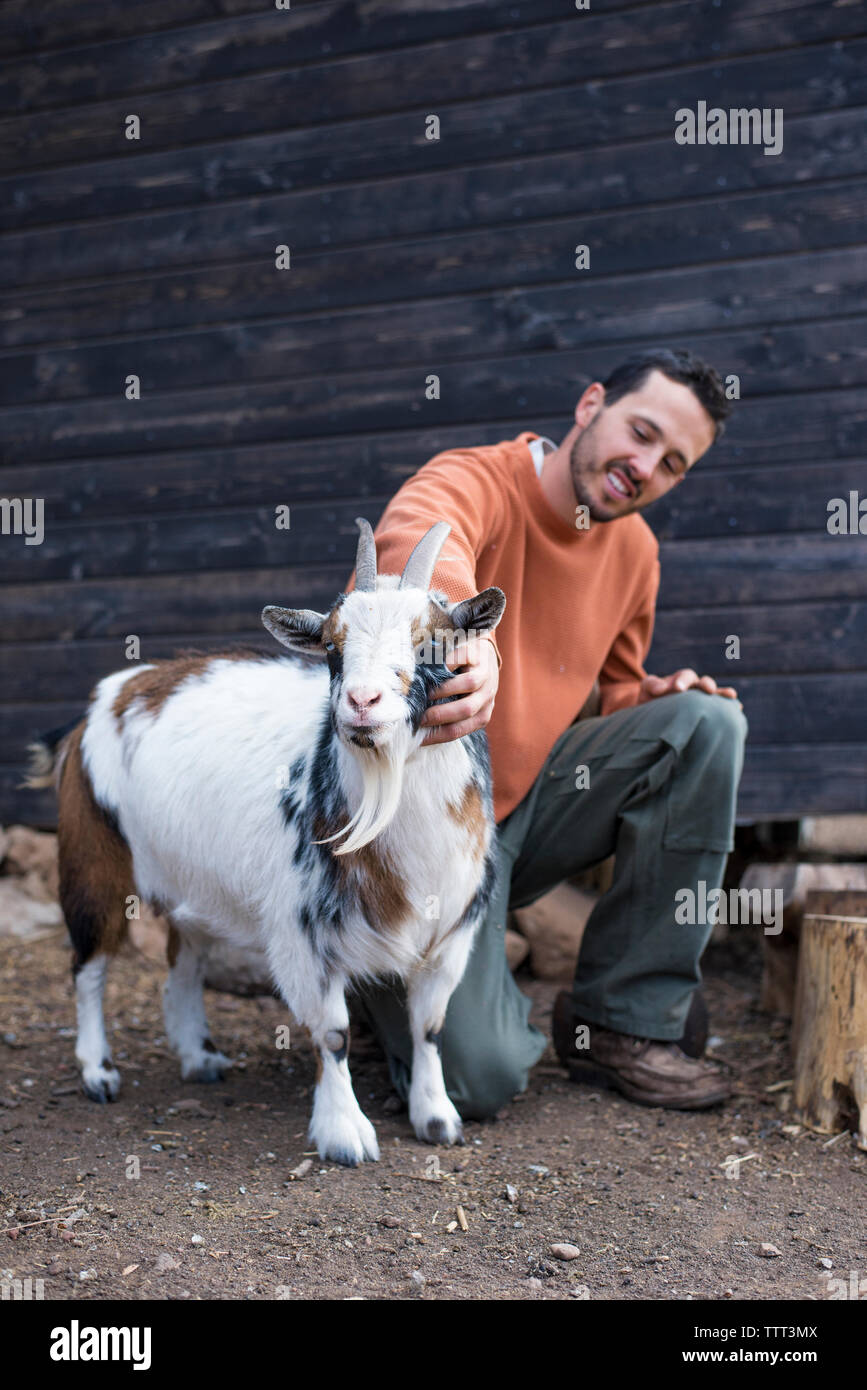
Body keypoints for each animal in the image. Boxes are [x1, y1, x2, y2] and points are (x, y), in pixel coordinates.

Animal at [27, 519, 506, 1165]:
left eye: (432, 642)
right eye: (331, 648)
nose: (362, 703)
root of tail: (106, 699)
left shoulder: (451, 929)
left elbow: (429, 1027)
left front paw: (436, 1117)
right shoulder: (301, 932)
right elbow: (333, 1034)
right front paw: (344, 1134)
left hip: (193, 885)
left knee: (182, 964)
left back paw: (199, 1058)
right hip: (93, 862)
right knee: (89, 967)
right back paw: (98, 1072)